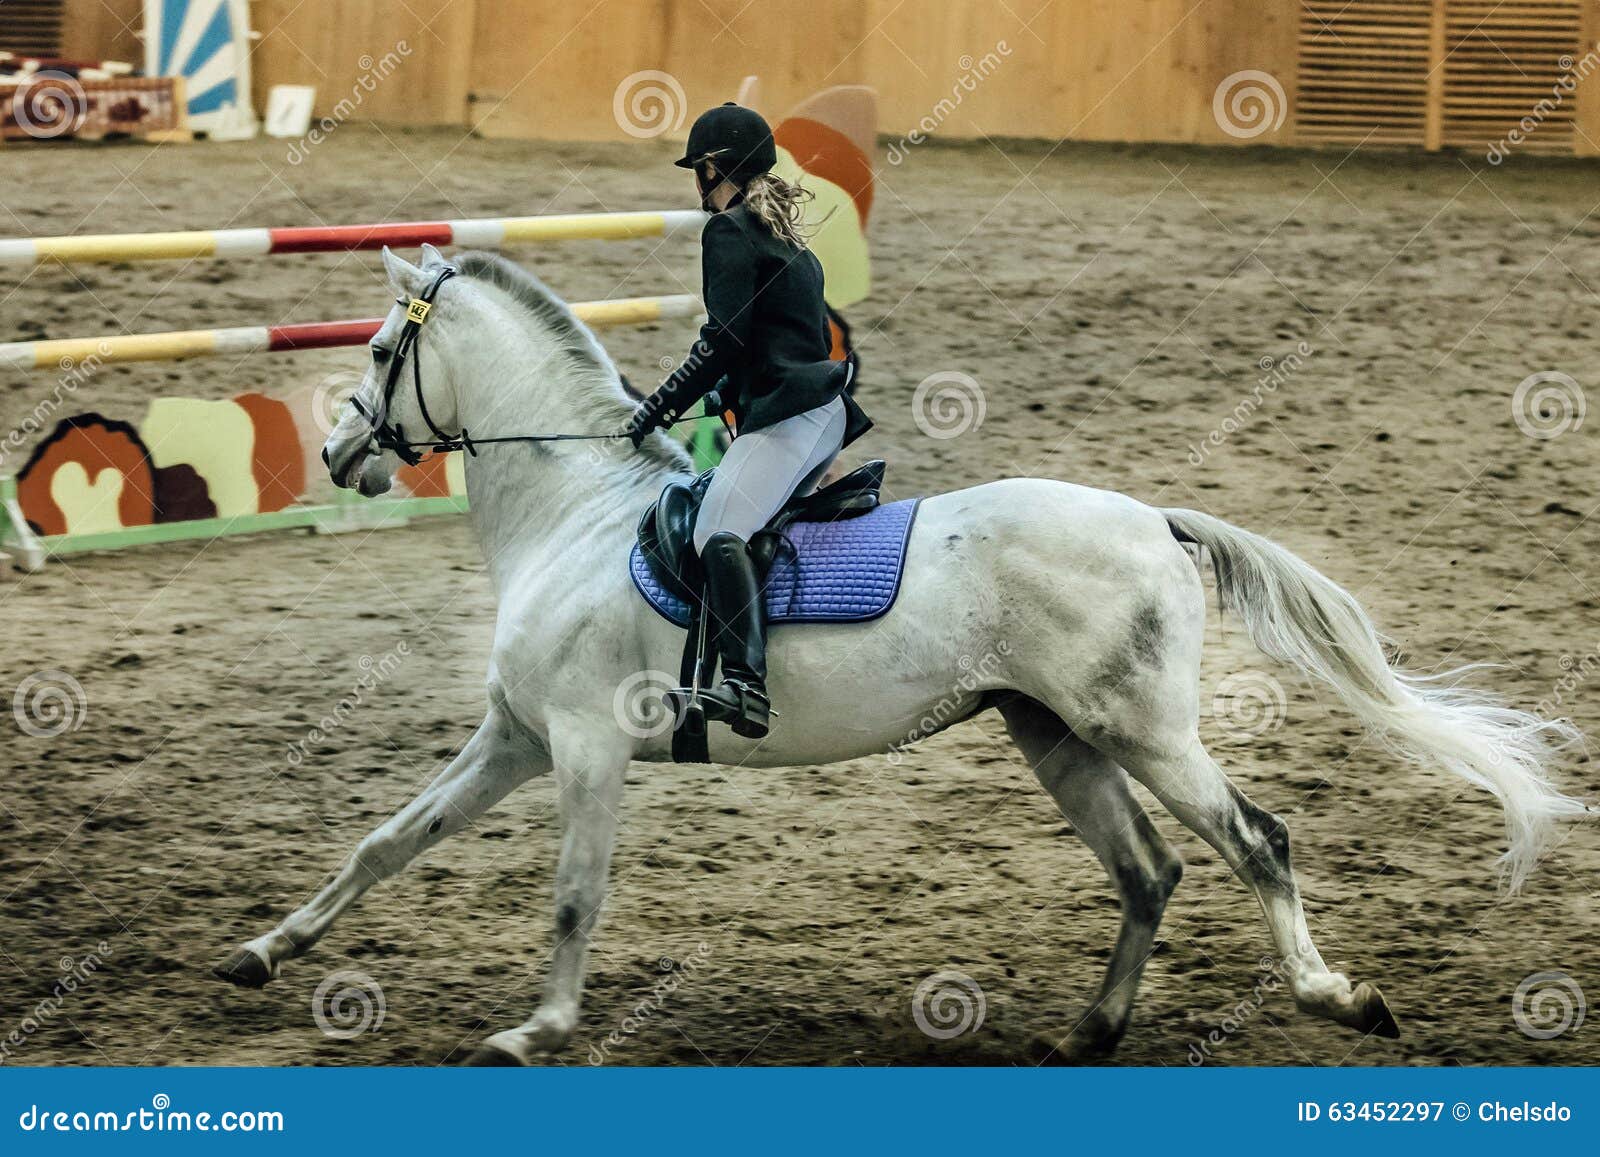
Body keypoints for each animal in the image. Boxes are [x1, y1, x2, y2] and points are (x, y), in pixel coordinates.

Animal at [214, 244, 1587, 1064]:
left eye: (380, 348)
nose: (340, 452)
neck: (578, 510)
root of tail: (1153, 517)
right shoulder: (515, 733)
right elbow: (385, 841)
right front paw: (263, 952)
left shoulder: (591, 745)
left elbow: (572, 893)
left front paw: (535, 1029)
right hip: (1058, 734)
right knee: (1148, 870)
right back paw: (1088, 1030)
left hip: (1141, 727)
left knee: (1255, 837)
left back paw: (1331, 994)